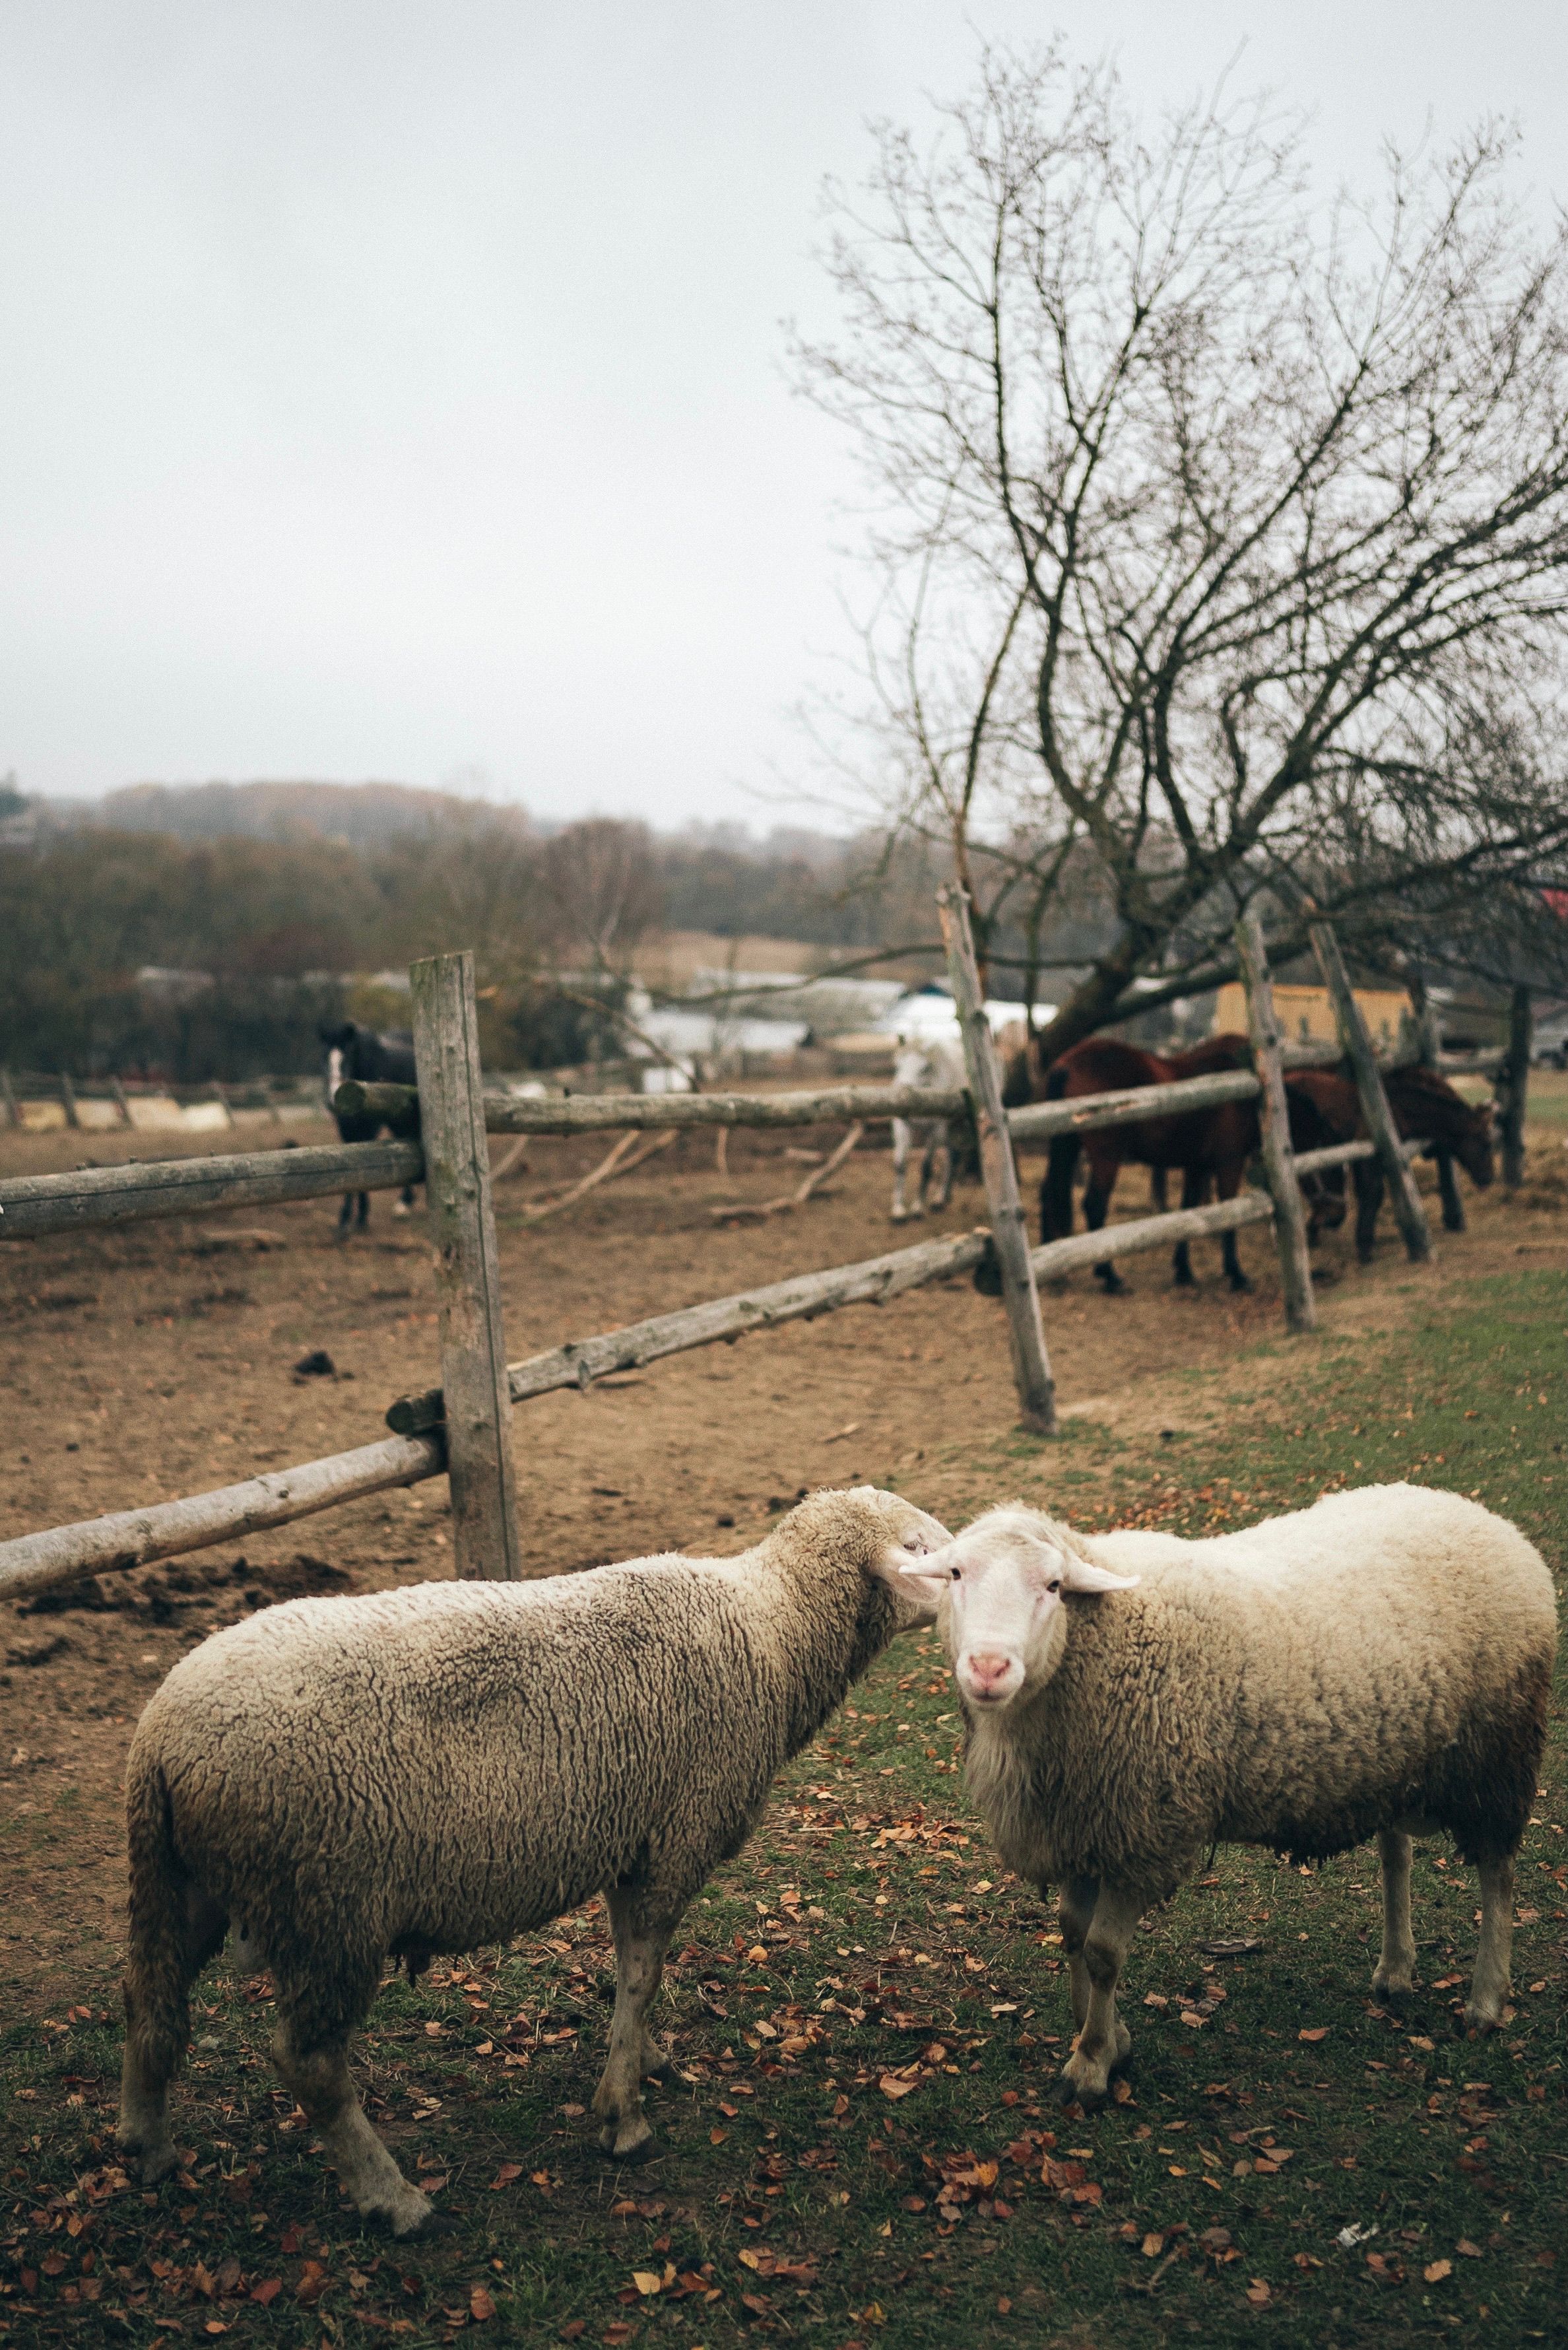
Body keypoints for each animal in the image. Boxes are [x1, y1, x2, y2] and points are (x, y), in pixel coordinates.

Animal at [118, 1486, 947, 2236]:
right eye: (924, 1548)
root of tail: (162, 1737)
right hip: (326, 1905)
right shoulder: (676, 1838)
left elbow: (631, 1969)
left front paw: (642, 2058)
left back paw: (148, 2150)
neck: (775, 1629)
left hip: (183, 1885)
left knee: (153, 2009)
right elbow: (643, 1973)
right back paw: (393, 2197)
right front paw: (623, 2115)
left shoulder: (633, 1839)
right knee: (309, 2061)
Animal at [905, 1484, 1554, 2110]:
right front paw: (1108, 2037)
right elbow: (1071, 1934)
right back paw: (1395, 1970)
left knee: (1497, 1873)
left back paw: (1486, 2001)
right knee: (1398, 1855)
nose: (989, 1668)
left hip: (1498, 1754)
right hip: (1397, 1757)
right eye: (956, 1574)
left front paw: (1091, 2064)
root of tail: (1481, 1514)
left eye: (1054, 1586)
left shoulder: (1146, 1833)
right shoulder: (1080, 1828)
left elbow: (1103, 1954)